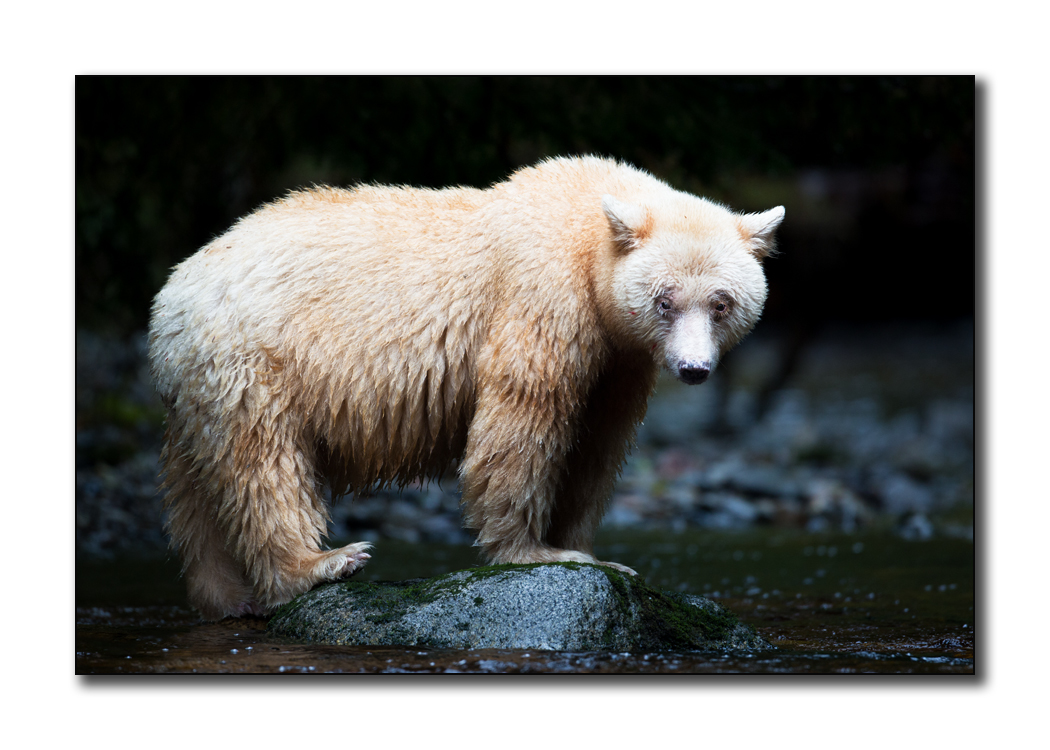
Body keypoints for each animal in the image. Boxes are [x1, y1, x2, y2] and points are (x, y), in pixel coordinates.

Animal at [148, 155, 784, 620]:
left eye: (721, 303)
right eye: (664, 300)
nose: (694, 368)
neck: (588, 224)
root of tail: (171, 298)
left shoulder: (620, 361)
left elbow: (596, 445)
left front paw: (592, 553)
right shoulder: (544, 297)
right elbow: (523, 422)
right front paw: (536, 552)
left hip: (197, 390)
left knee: (195, 493)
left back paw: (225, 596)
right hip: (253, 358)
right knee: (264, 465)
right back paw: (320, 563)